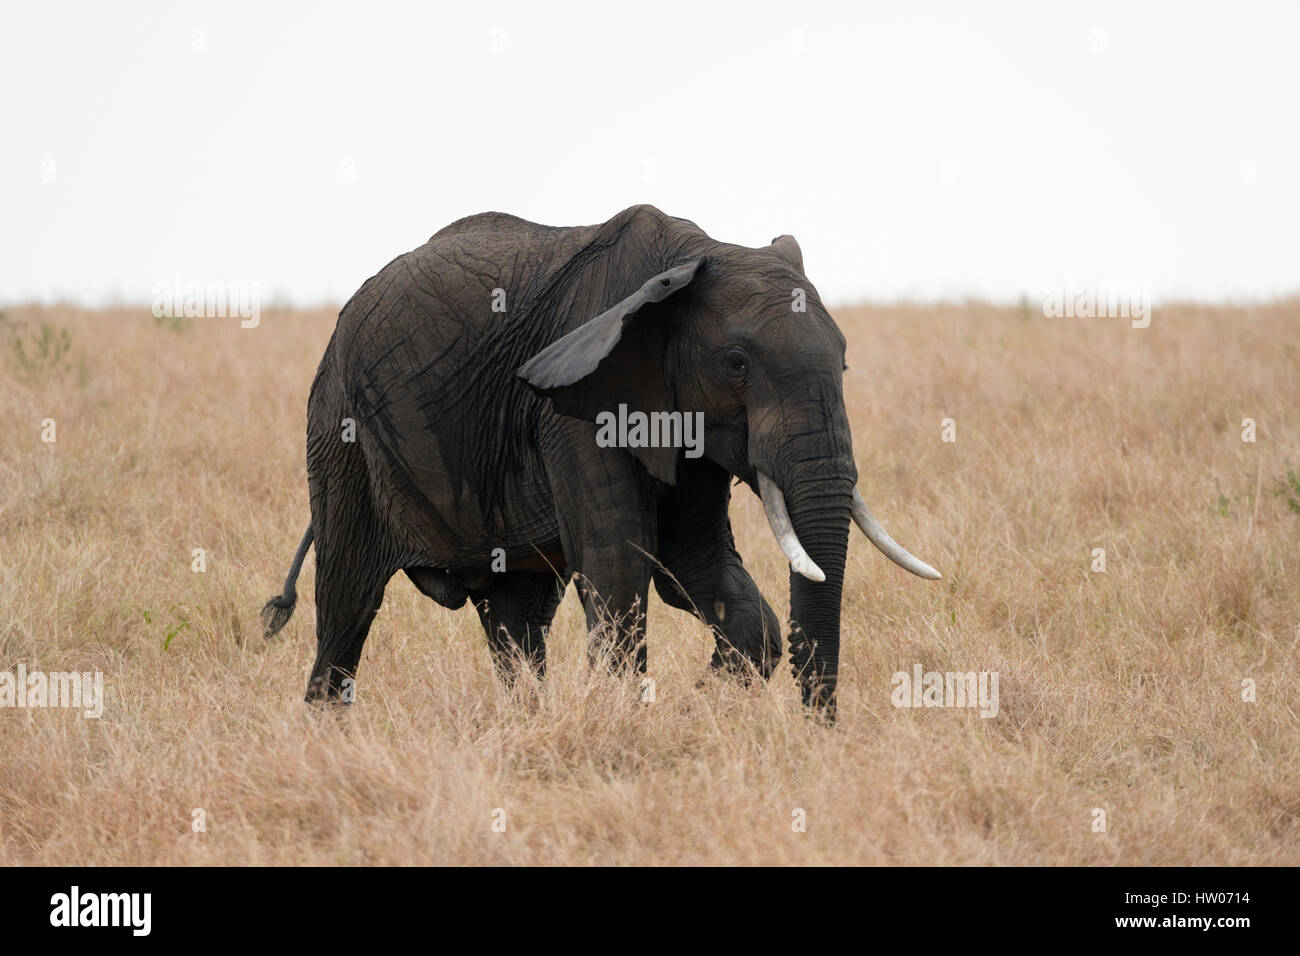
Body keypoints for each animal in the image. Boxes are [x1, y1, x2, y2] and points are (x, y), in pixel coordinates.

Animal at [261, 204, 940, 719]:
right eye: (737, 363)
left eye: (844, 363)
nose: (819, 731)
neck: (688, 258)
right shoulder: (576, 412)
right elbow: (621, 566)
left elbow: (697, 564)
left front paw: (695, 712)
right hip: (340, 432)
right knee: (347, 603)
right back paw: (326, 730)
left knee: (516, 619)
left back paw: (525, 721)